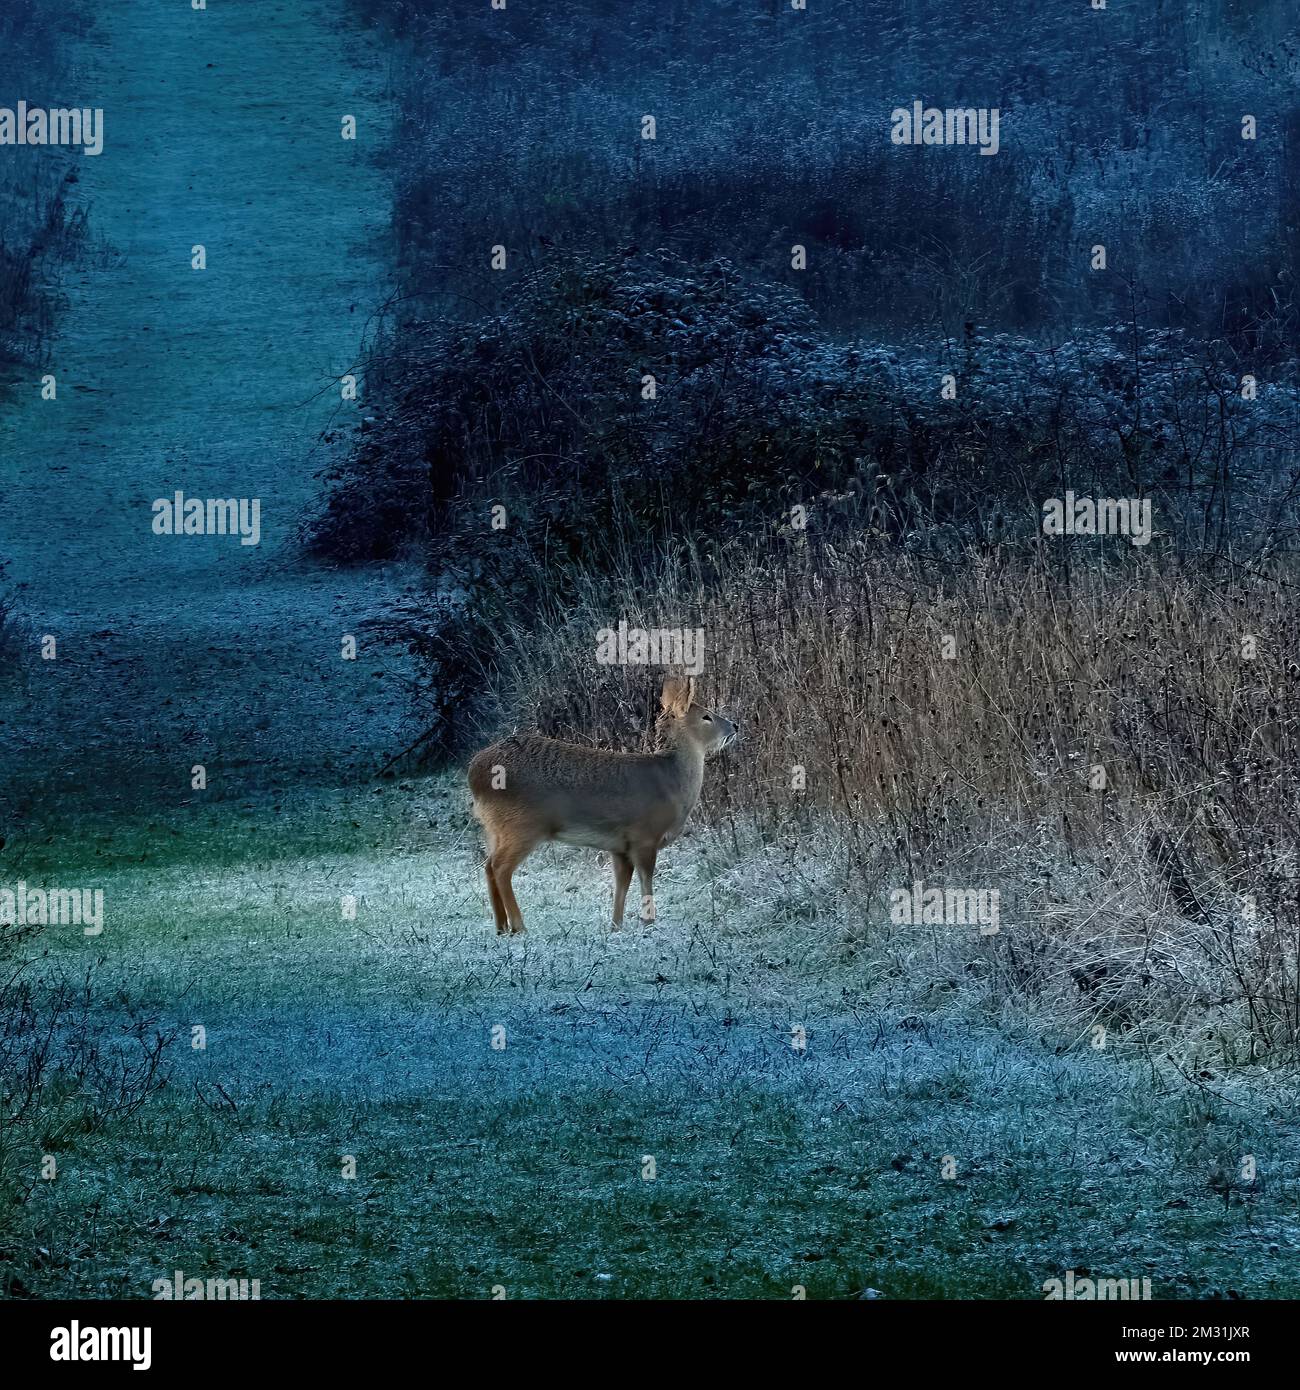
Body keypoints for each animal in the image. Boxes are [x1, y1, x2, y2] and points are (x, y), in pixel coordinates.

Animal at [467, 676, 737, 934]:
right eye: (706, 716)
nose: (735, 725)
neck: (672, 783)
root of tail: (474, 773)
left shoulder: (619, 847)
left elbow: (621, 885)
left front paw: (615, 926)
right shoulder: (644, 836)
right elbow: (646, 880)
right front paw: (648, 923)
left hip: (494, 827)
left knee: (488, 866)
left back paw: (501, 927)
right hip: (523, 825)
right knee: (500, 867)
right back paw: (519, 926)